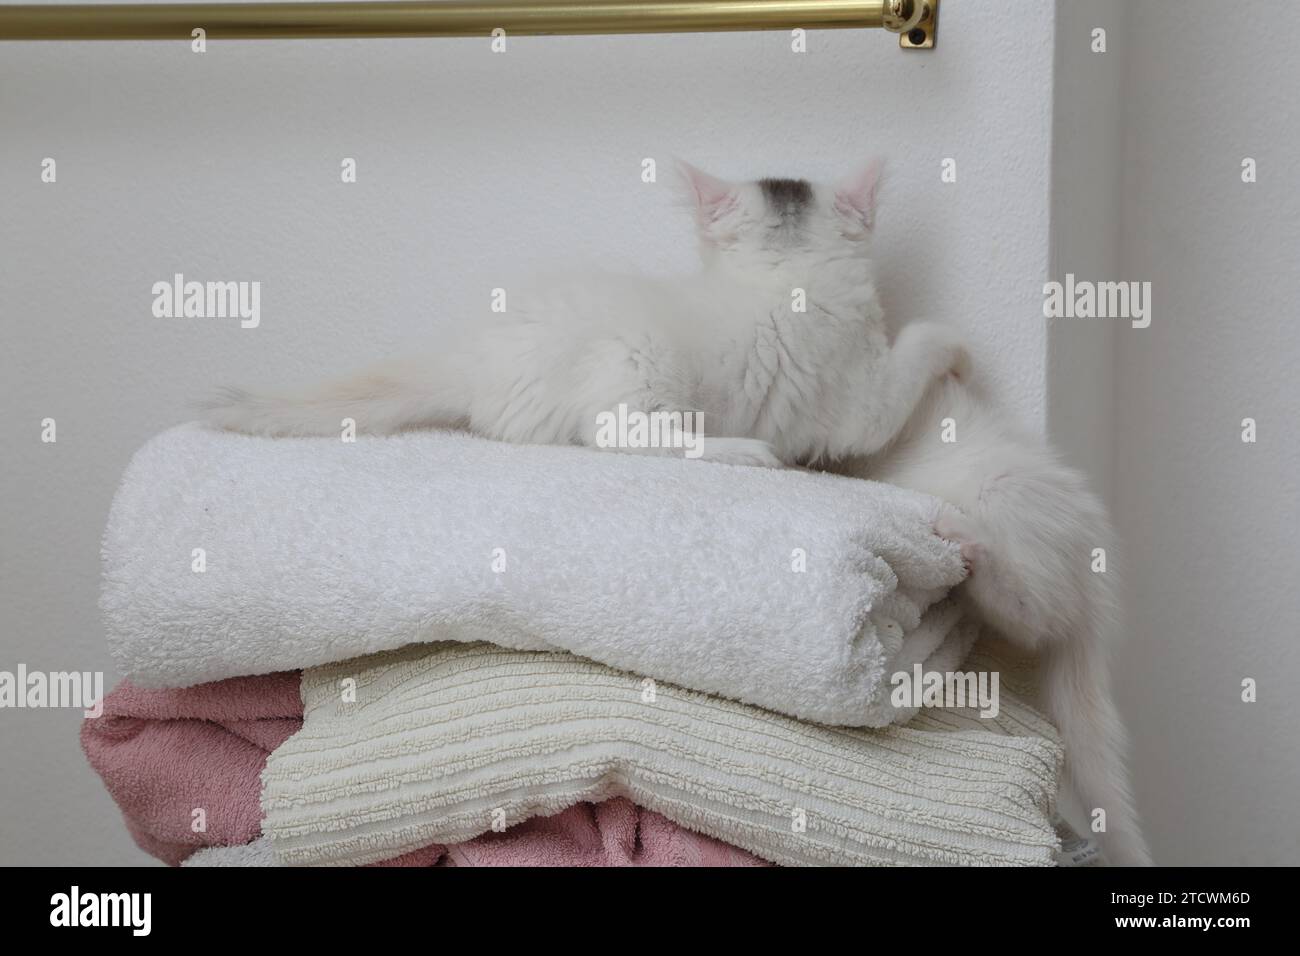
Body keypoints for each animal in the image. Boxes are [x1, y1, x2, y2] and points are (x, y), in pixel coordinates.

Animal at [202, 163, 967, 468]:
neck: (779, 273)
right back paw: (745, 452)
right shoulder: (862, 403)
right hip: (638, 365)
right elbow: (921, 343)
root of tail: (475, 357)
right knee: (615, 436)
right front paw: (959, 351)